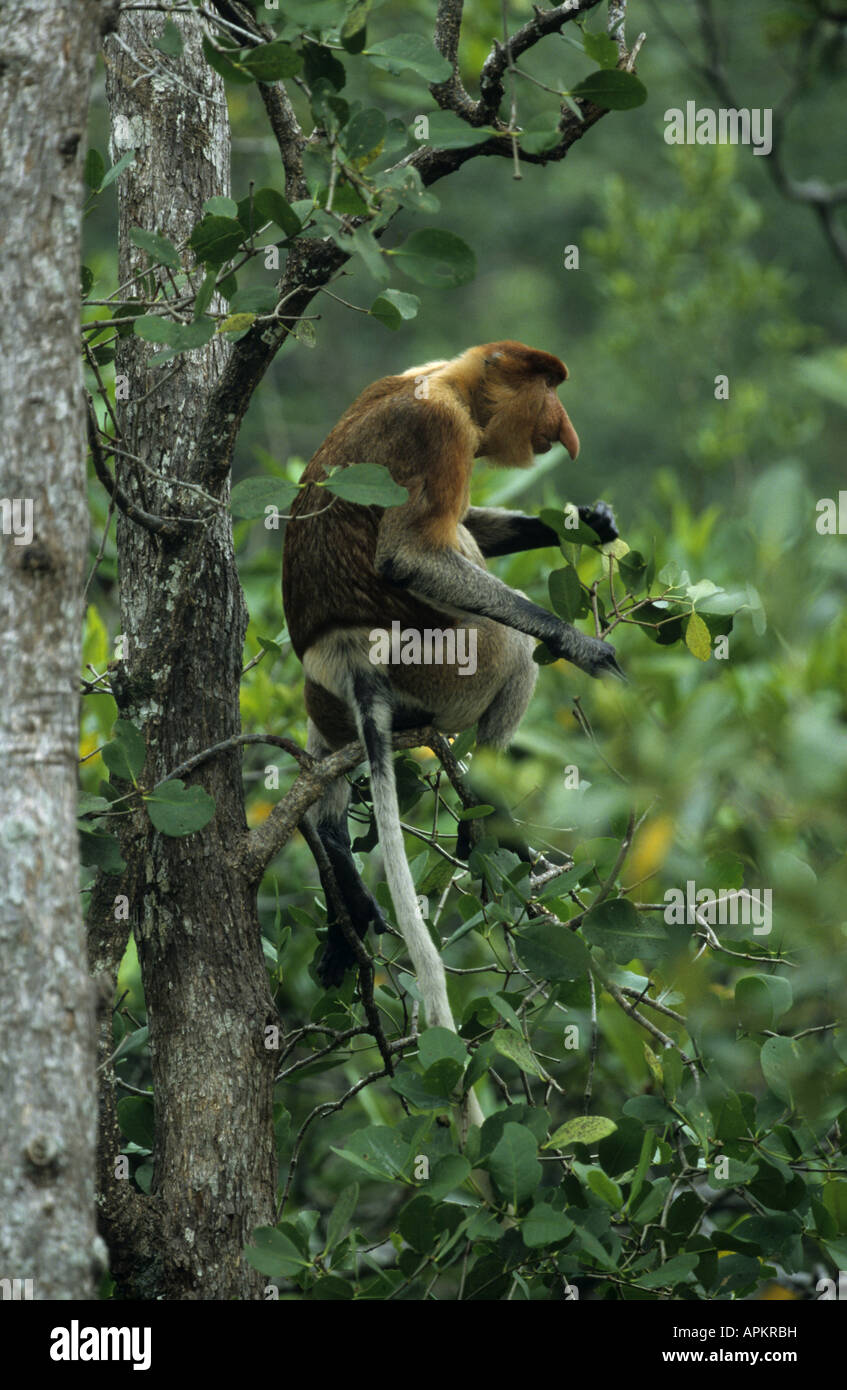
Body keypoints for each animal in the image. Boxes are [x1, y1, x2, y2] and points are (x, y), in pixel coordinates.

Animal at [282, 342, 621, 1115]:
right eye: (548, 388)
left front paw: (586, 520)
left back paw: (339, 873)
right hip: (443, 664)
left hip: (326, 700)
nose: (566, 430)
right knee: (511, 647)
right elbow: (410, 555)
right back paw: (485, 822)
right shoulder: (438, 434)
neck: (444, 381)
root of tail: (350, 654)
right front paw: (579, 644)